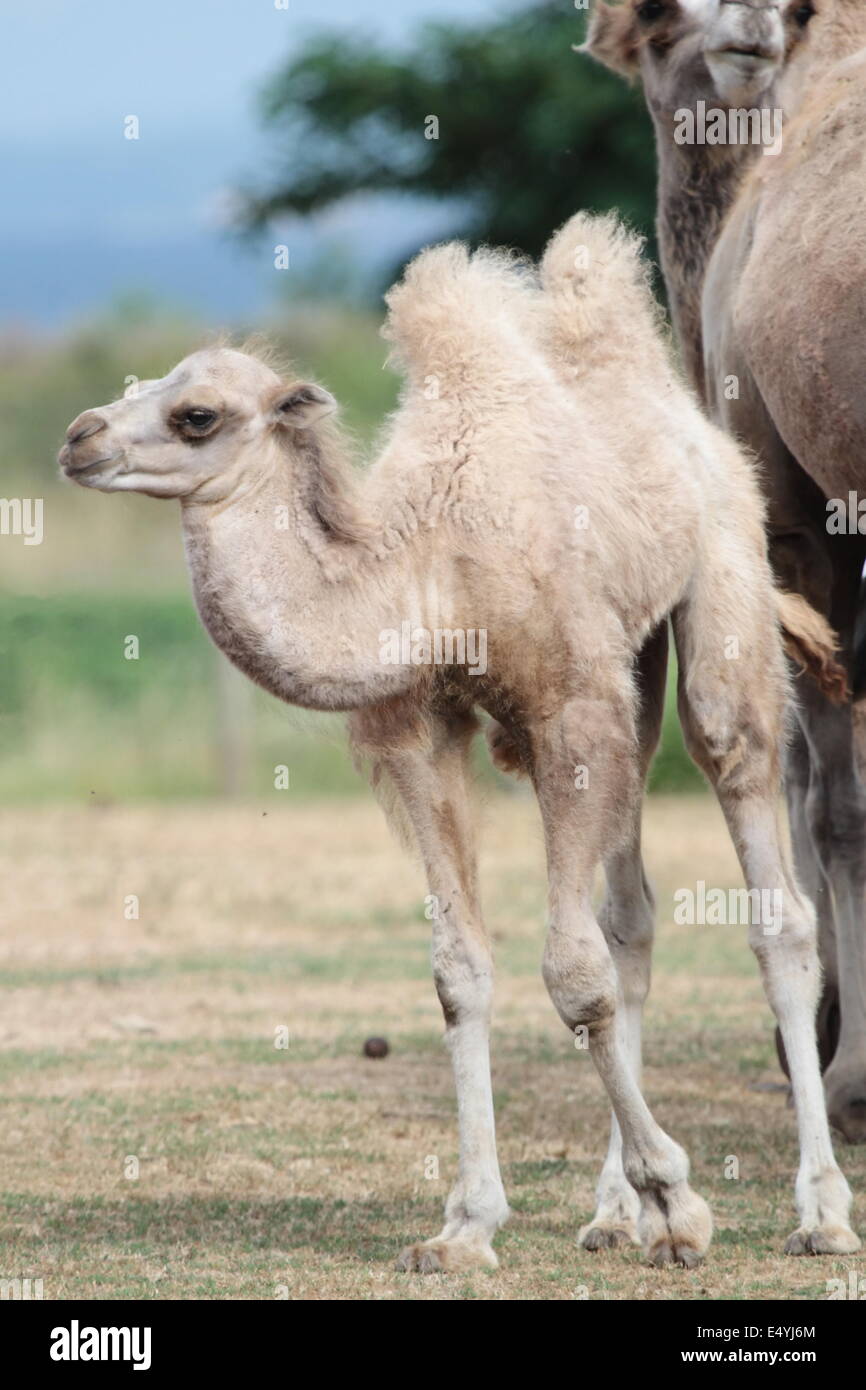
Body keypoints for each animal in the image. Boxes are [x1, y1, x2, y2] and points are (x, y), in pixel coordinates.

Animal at [59, 212, 858, 1269]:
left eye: (197, 414)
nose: (78, 437)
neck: (430, 568)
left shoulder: (567, 713)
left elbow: (572, 973)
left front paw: (679, 1199)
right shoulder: (418, 730)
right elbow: (464, 972)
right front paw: (468, 1225)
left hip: (726, 579)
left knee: (766, 876)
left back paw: (821, 1211)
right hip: (633, 666)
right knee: (632, 920)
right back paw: (612, 1213)